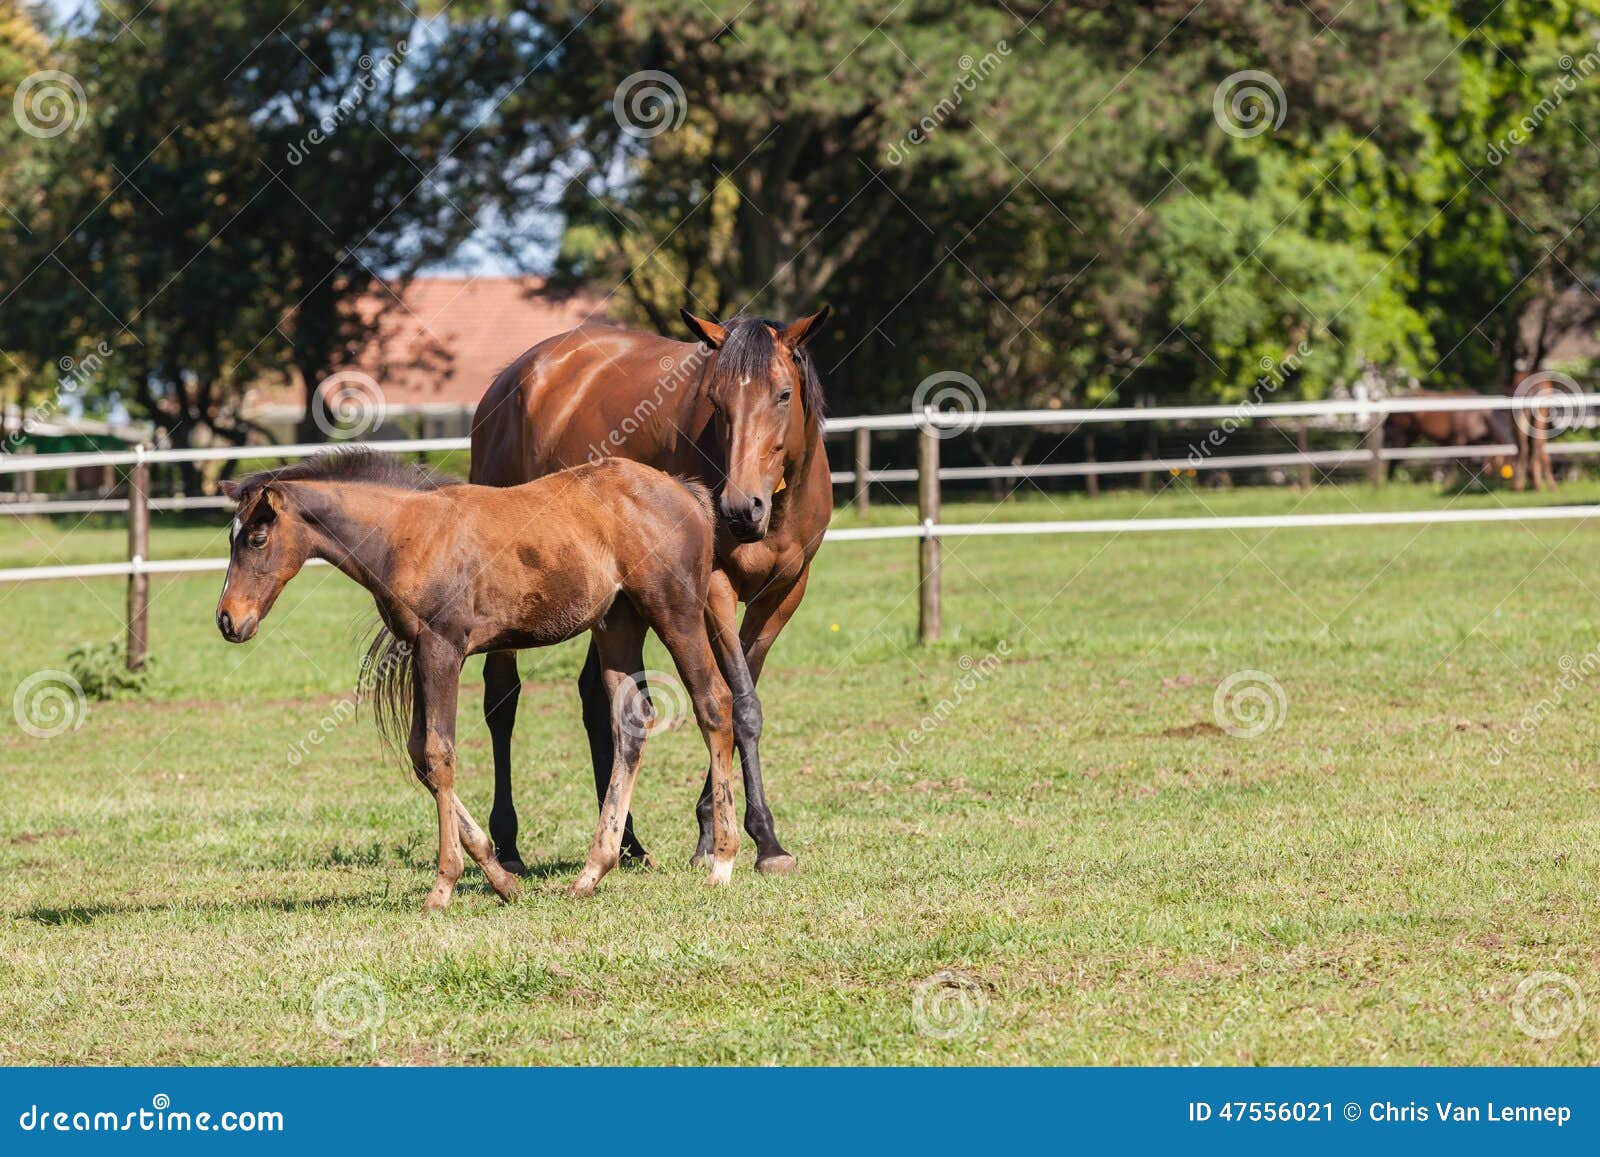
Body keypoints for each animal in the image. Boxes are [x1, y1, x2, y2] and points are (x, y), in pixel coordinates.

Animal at [213, 449, 742, 912]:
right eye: (232, 540)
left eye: (256, 539)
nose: (227, 620)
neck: (407, 533)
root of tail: (682, 488)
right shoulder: (418, 651)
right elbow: (419, 755)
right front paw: (502, 878)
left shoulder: (442, 648)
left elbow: (439, 754)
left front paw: (443, 886)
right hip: (617, 623)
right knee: (632, 722)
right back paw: (591, 873)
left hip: (675, 612)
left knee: (713, 703)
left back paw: (722, 863)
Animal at [470, 308, 832, 876]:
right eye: (715, 401)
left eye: (782, 394)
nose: (739, 508)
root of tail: (511, 378)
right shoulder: (713, 588)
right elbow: (739, 704)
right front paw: (764, 840)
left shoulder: (786, 593)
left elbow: (743, 698)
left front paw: (713, 833)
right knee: (501, 699)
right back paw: (507, 846)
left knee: (598, 701)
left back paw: (628, 843)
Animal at [1381, 391, 1515, 481]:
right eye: (1507, 458)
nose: (1506, 477)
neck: (1477, 415)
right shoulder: (1458, 439)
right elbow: (1455, 461)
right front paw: (1447, 479)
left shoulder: (1472, 443)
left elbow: (1469, 463)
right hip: (1401, 436)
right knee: (1394, 458)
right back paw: (1391, 481)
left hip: (1412, 436)